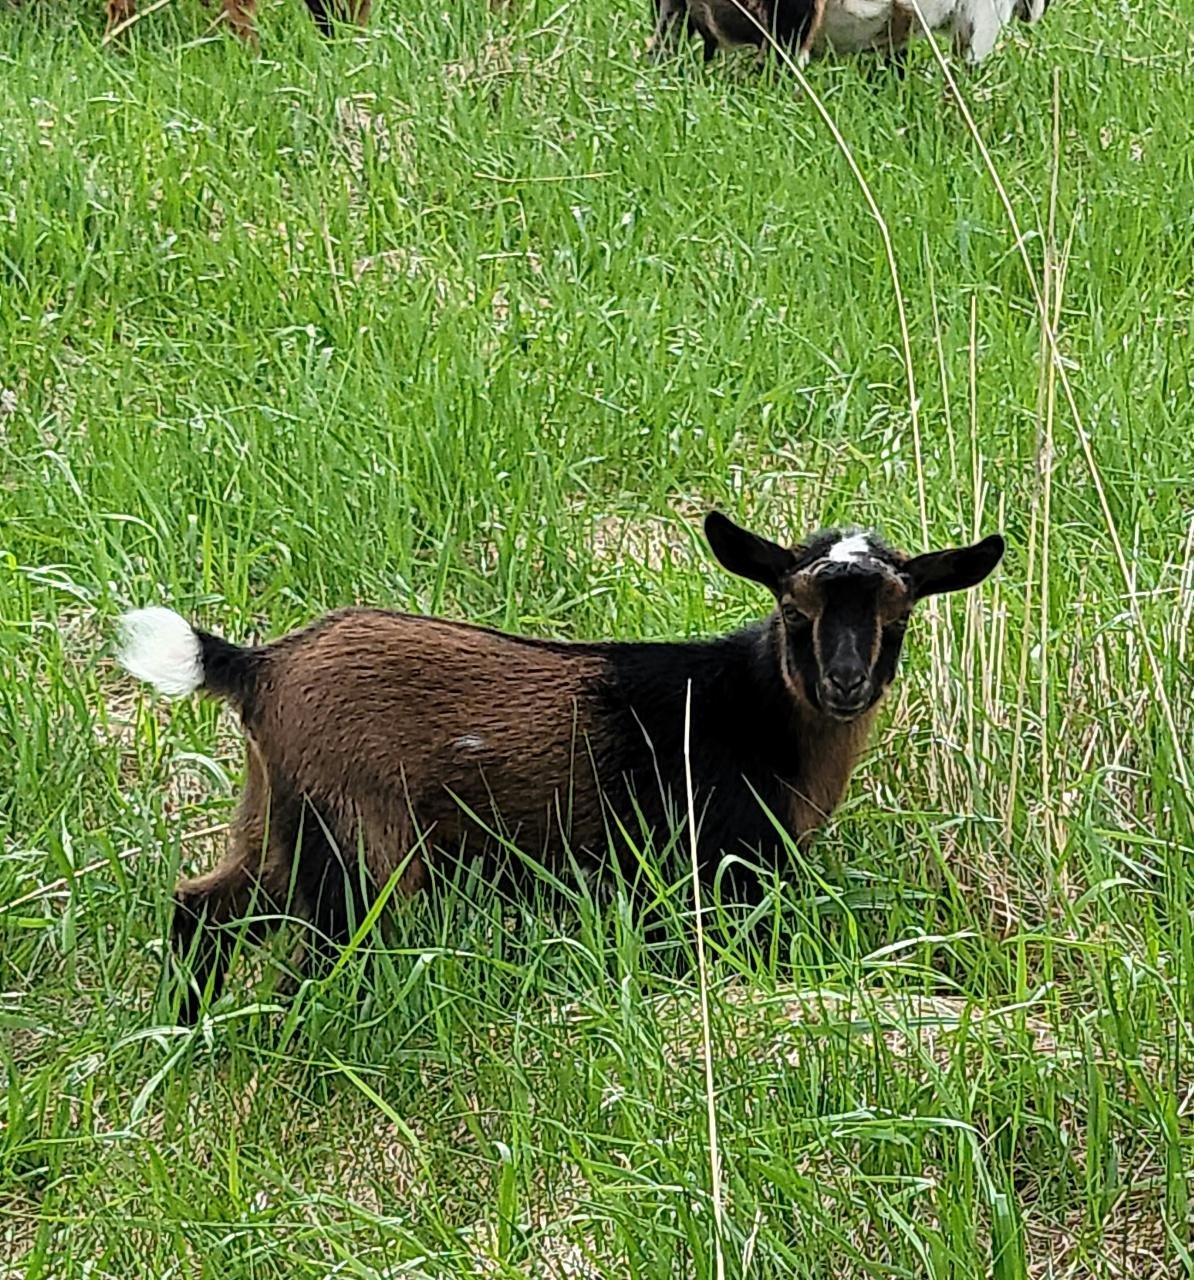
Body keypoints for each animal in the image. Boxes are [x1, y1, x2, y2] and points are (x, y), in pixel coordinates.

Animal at [116, 512, 1004, 1023]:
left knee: (201, 907)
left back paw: (181, 1029)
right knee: (309, 965)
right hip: (357, 845)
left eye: (900, 617)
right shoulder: (718, 869)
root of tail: (260, 666)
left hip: (278, 820)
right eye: (793, 609)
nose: (845, 682)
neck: (748, 709)